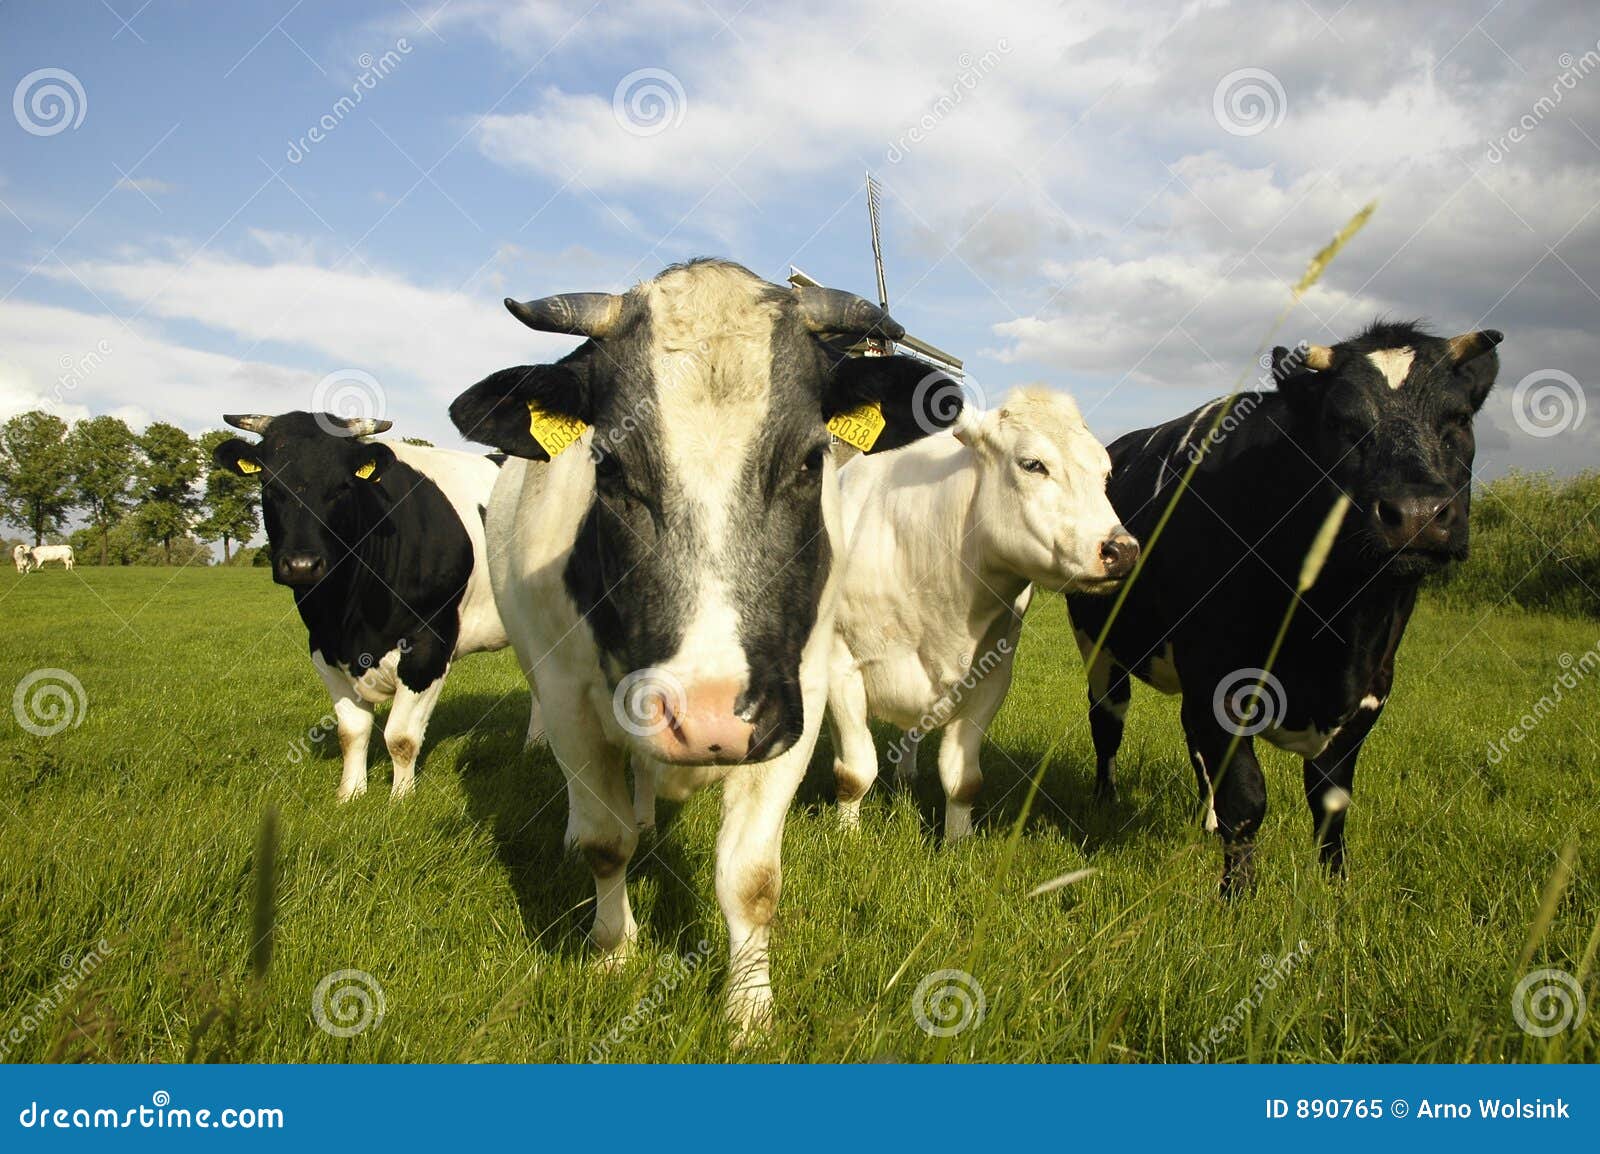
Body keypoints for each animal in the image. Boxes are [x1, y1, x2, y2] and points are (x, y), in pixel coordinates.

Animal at [212, 412, 514, 801]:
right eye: (269, 484)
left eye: (342, 487)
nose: (302, 565)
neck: (350, 618)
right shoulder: (323, 646)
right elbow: (351, 732)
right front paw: (350, 794)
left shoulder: (429, 645)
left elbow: (401, 737)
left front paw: (400, 799)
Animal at [448, 258, 959, 1036]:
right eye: (608, 466)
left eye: (811, 461)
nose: (710, 716)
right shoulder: (567, 697)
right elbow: (605, 844)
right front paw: (613, 954)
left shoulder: (794, 700)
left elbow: (750, 879)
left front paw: (750, 1009)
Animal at [827, 387, 1138, 840]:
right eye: (1032, 464)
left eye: (1105, 474)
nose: (1123, 550)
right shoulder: (840, 665)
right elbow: (854, 770)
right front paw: (845, 836)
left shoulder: (992, 677)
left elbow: (963, 779)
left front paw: (958, 840)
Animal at [1066, 322, 1502, 895]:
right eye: (1339, 423)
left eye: (1459, 419)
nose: (1416, 514)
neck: (1336, 622)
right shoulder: (1219, 680)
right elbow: (1247, 796)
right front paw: (1238, 895)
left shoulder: (1371, 691)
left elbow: (1330, 799)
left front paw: (1336, 885)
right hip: (1101, 645)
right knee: (1108, 719)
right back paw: (1106, 798)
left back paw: (1205, 820)